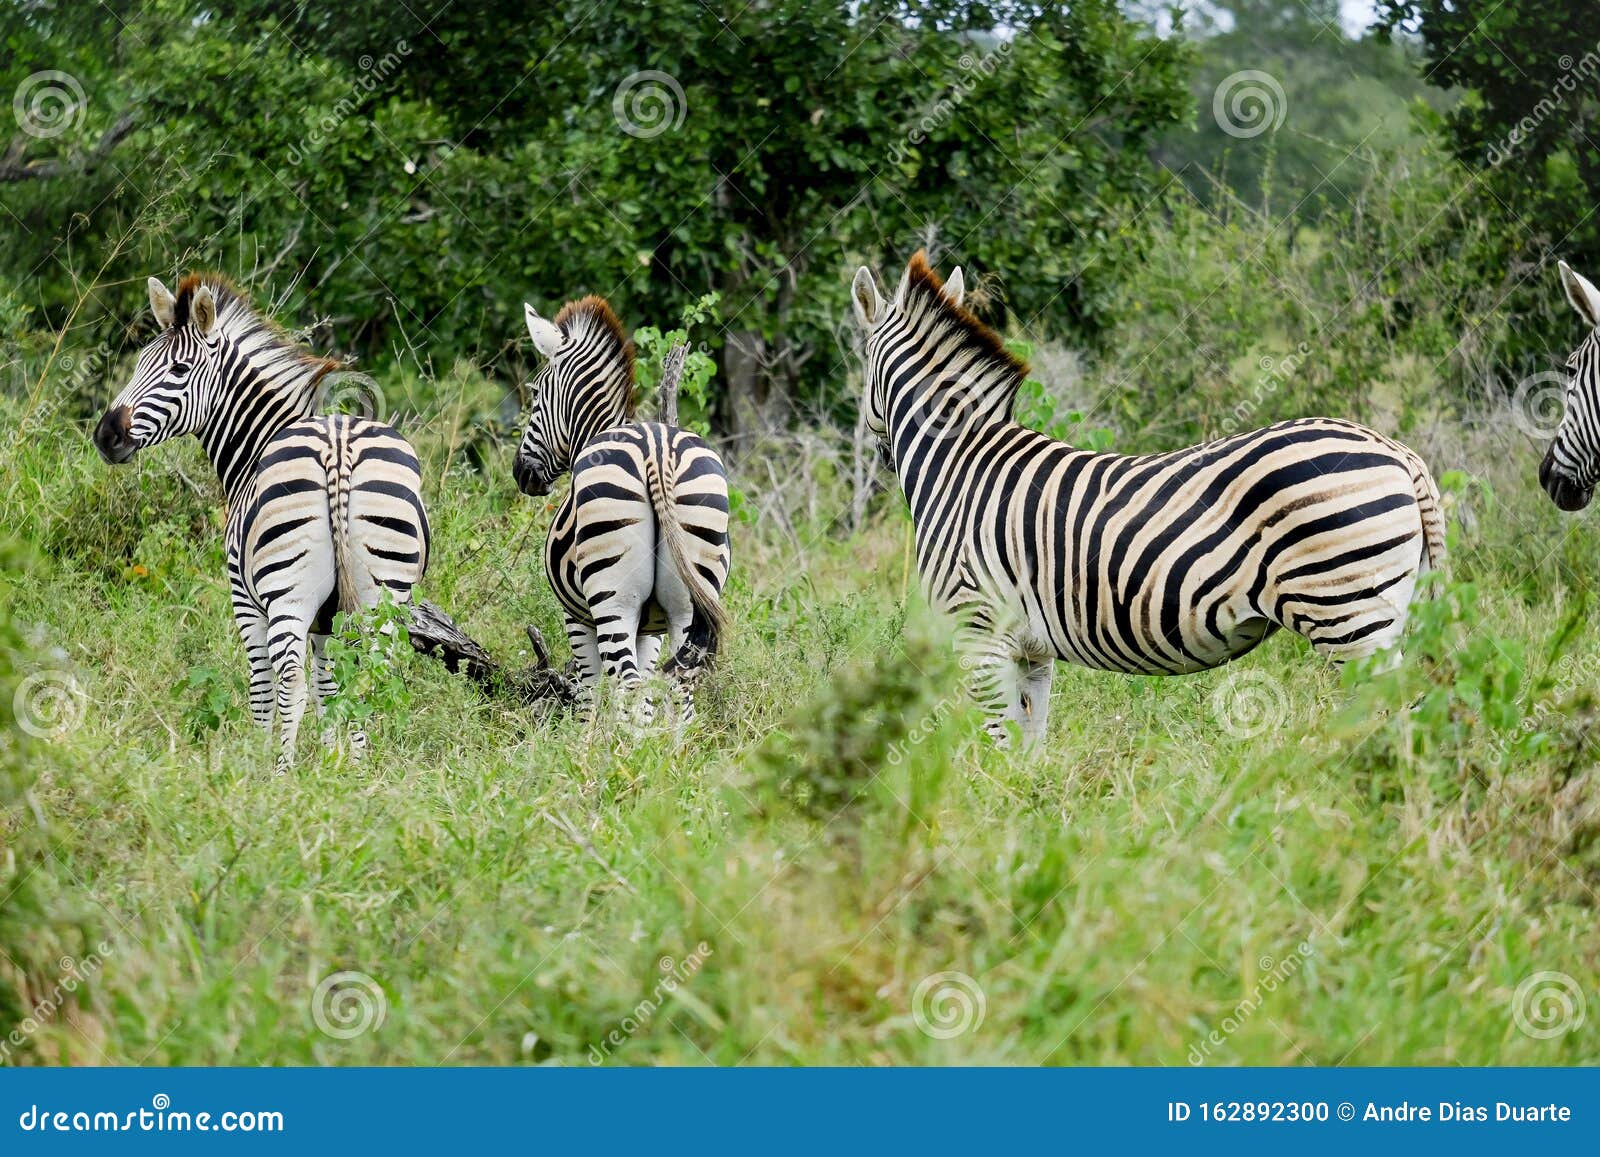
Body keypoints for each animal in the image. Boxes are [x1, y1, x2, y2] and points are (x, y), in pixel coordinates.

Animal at [93, 274, 430, 771]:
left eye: (178, 371)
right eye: (138, 364)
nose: (106, 436)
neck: (260, 441)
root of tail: (337, 446)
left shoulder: (244, 599)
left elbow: (263, 687)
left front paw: (261, 760)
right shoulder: (329, 618)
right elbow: (329, 686)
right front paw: (334, 764)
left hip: (286, 590)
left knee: (289, 681)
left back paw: (280, 773)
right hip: (384, 593)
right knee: (369, 674)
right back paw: (362, 769)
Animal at [513, 295, 730, 722]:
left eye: (535, 396)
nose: (520, 472)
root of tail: (657, 453)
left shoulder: (578, 618)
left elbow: (592, 693)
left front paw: (589, 737)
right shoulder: (652, 630)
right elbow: (645, 701)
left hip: (613, 598)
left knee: (627, 684)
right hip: (690, 603)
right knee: (680, 690)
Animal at [849, 251, 1446, 746]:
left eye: (860, 371)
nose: (879, 454)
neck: (960, 462)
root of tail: (1397, 452)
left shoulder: (978, 632)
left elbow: (998, 742)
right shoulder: (1030, 650)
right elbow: (1029, 746)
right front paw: (1032, 804)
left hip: (1348, 612)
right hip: (1392, 608)